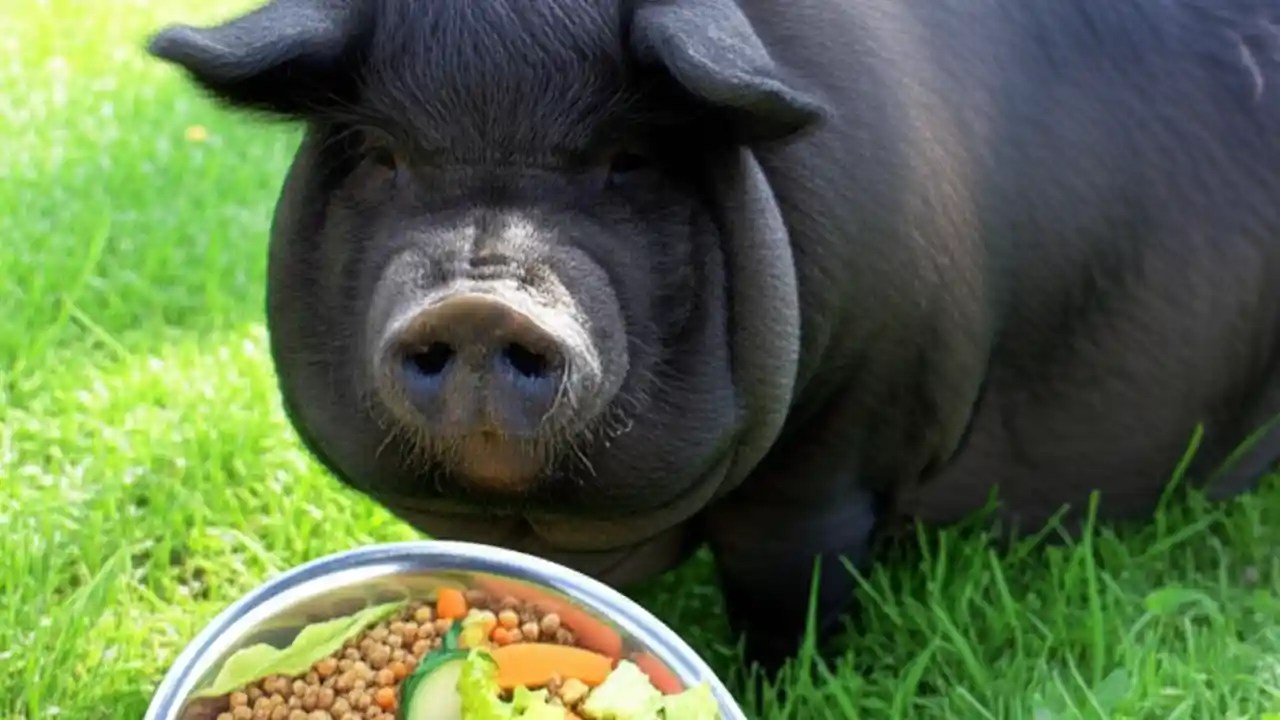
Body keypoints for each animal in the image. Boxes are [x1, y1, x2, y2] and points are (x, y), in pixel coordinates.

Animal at [146, 0, 1280, 671]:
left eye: (628, 159)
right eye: (382, 155)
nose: (479, 303)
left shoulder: (844, 440)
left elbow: (789, 584)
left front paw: (786, 681)